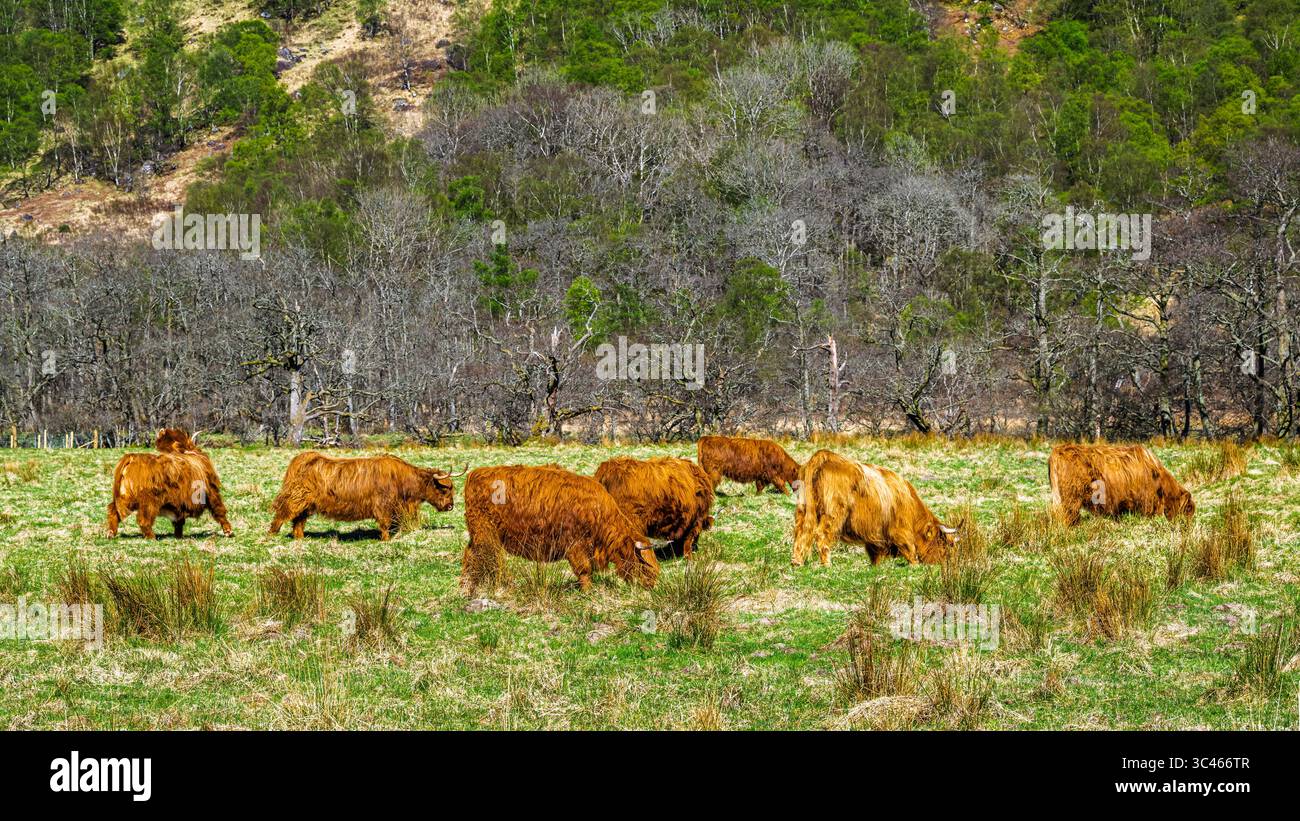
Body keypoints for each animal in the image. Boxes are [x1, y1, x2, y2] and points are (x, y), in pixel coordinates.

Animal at [268, 452, 463, 541]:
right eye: (444, 490)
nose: (450, 506)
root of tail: (303, 457)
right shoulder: (383, 505)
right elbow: (385, 524)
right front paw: (385, 540)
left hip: (307, 504)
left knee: (298, 520)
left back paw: (300, 538)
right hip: (296, 499)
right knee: (282, 515)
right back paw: (271, 535)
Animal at [460, 465, 659, 594]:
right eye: (645, 566)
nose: (652, 586)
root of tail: (476, 473)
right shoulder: (576, 545)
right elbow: (584, 570)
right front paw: (587, 592)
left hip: (478, 534)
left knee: (470, 554)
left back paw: (466, 583)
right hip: (485, 531)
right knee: (487, 557)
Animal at [792, 449, 956, 567]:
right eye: (942, 543)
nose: (944, 563)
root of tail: (823, 455)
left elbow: (875, 552)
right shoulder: (900, 528)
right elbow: (909, 547)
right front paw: (914, 564)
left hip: (803, 509)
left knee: (800, 532)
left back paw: (796, 561)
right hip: (834, 512)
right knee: (822, 534)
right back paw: (826, 564)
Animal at [1048, 443, 1194, 526]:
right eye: (1188, 510)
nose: (1187, 528)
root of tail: (1059, 450)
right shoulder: (1144, 499)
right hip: (1071, 498)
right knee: (1068, 516)